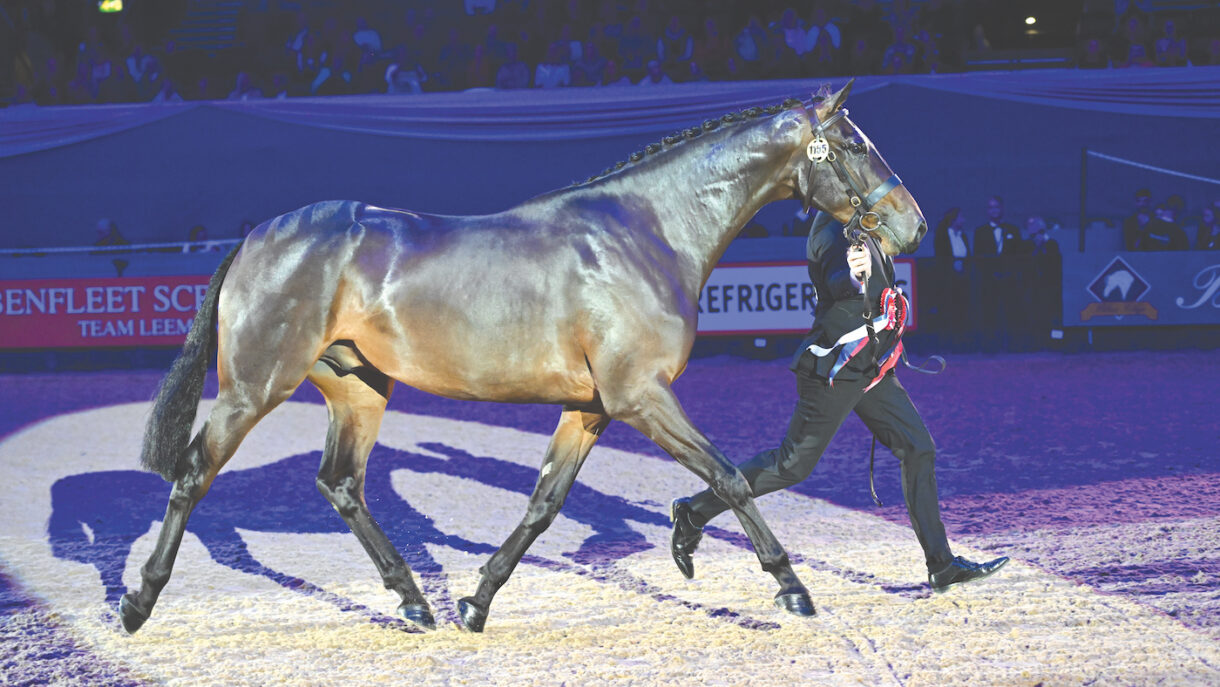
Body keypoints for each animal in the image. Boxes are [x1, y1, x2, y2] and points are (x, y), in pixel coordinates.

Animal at [118, 80, 927, 635]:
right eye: (855, 145)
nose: (912, 226)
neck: (646, 232)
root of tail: (258, 237)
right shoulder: (641, 396)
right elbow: (728, 477)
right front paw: (792, 588)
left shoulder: (591, 408)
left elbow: (543, 503)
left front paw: (476, 600)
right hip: (254, 387)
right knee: (193, 475)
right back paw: (138, 602)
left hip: (358, 389)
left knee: (341, 484)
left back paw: (416, 602)